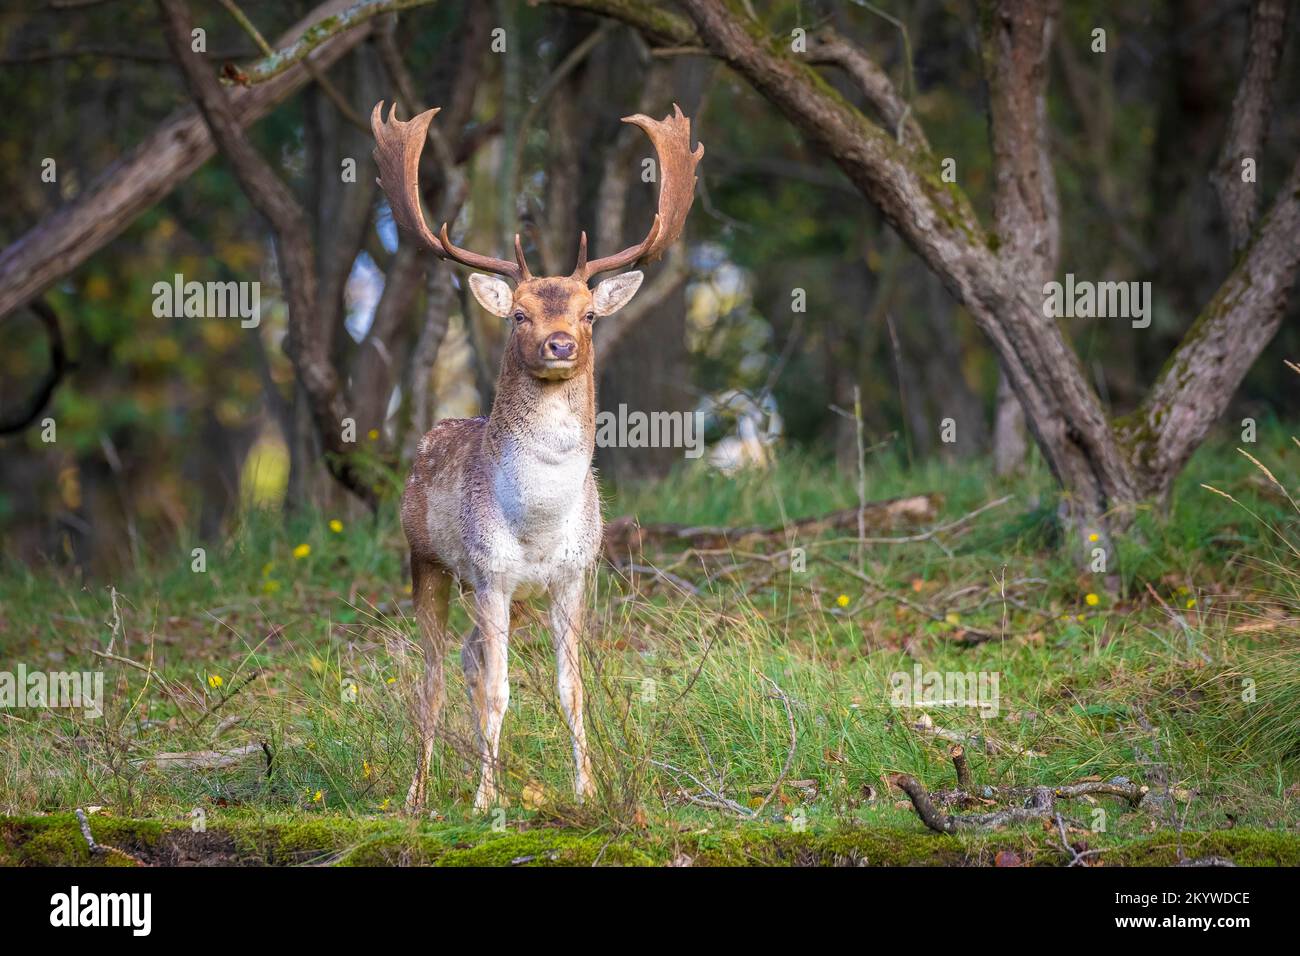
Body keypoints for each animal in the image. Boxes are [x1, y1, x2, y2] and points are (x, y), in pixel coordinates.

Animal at [370, 100, 703, 812]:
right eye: (519, 314)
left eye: (588, 313)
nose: (558, 344)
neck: (539, 523)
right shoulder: (490, 571)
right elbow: (500, 690)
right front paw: (484, 803)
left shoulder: (574, 575)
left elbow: (570, 689)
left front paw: (585, 790)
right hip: (429, 561)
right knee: (435, 673)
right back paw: (418, 794)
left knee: (468, 658)